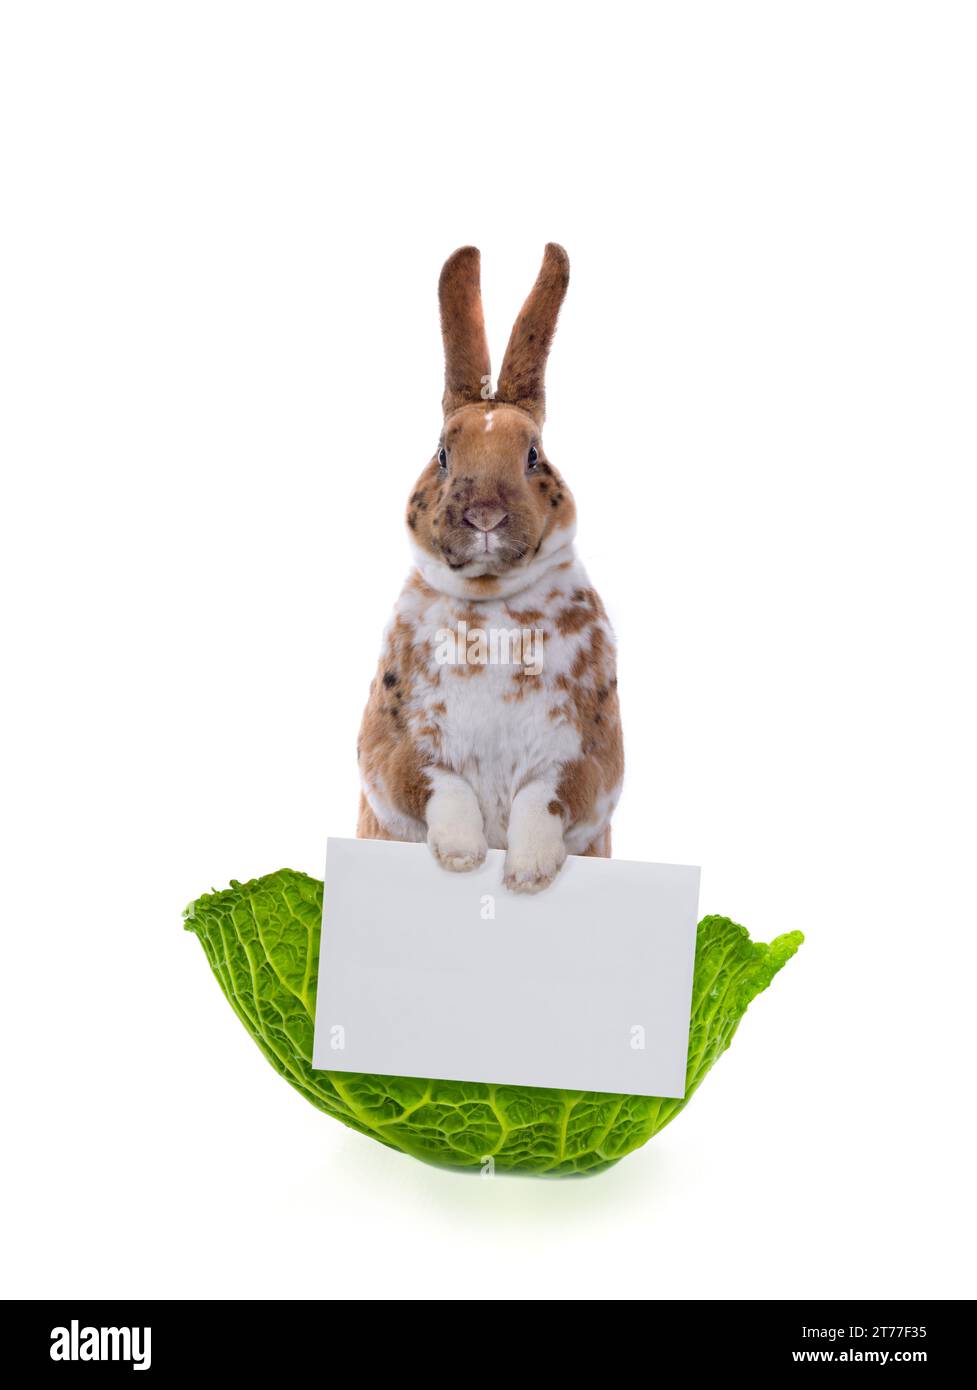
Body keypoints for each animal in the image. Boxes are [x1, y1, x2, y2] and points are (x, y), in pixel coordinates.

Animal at [357, 244, 623, 892]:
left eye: (533, 455)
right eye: (442, 454)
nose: (484, 514)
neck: (492, 603)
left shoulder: (589, 753)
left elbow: (544, 799)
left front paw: (527, 873)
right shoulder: (392, 747)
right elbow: (438, 785)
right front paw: (463, 856)